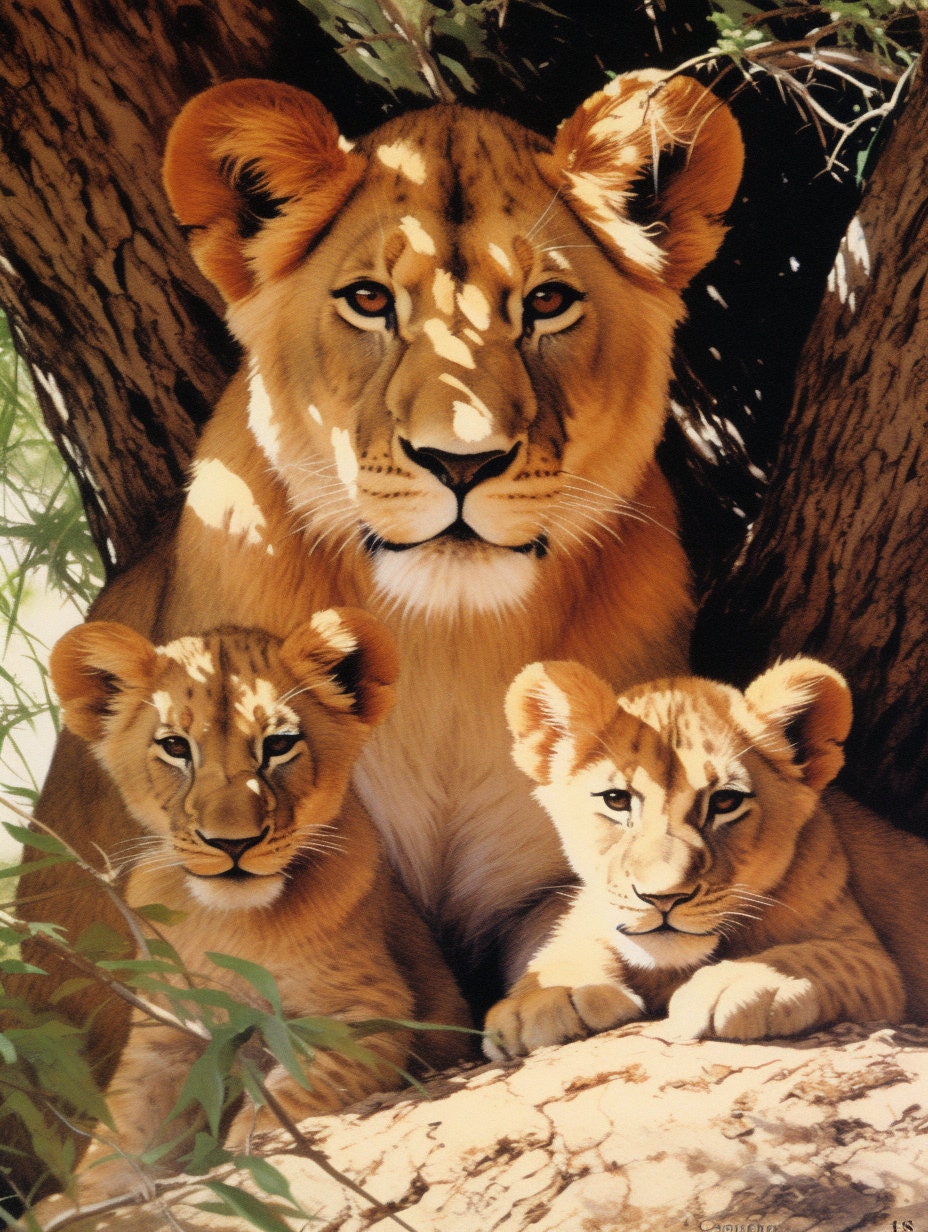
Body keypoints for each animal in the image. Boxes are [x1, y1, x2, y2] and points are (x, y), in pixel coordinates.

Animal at [15, 70, 747, 1099]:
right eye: (368, 300)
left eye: (548, 302)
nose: (460, 461)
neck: (445, 643)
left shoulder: (542, 863)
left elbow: (590, 899)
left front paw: (557, 993)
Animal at [35, 609, 471, 1214]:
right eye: (175, 747)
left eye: (279, 745)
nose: (232, 843)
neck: (229, 924)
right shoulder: (167, 1038)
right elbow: (121, 1136)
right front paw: (74, 1204)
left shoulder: (367, 1010)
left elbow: (293, 1095)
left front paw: (249, 1160)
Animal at [484, 656, 928, 1058]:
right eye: (616, 800)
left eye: (726, 802)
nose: (663, 898)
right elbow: (565, 945)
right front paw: (540, 1000)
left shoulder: (874, 962)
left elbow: (812, 956)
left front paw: (736, 985)